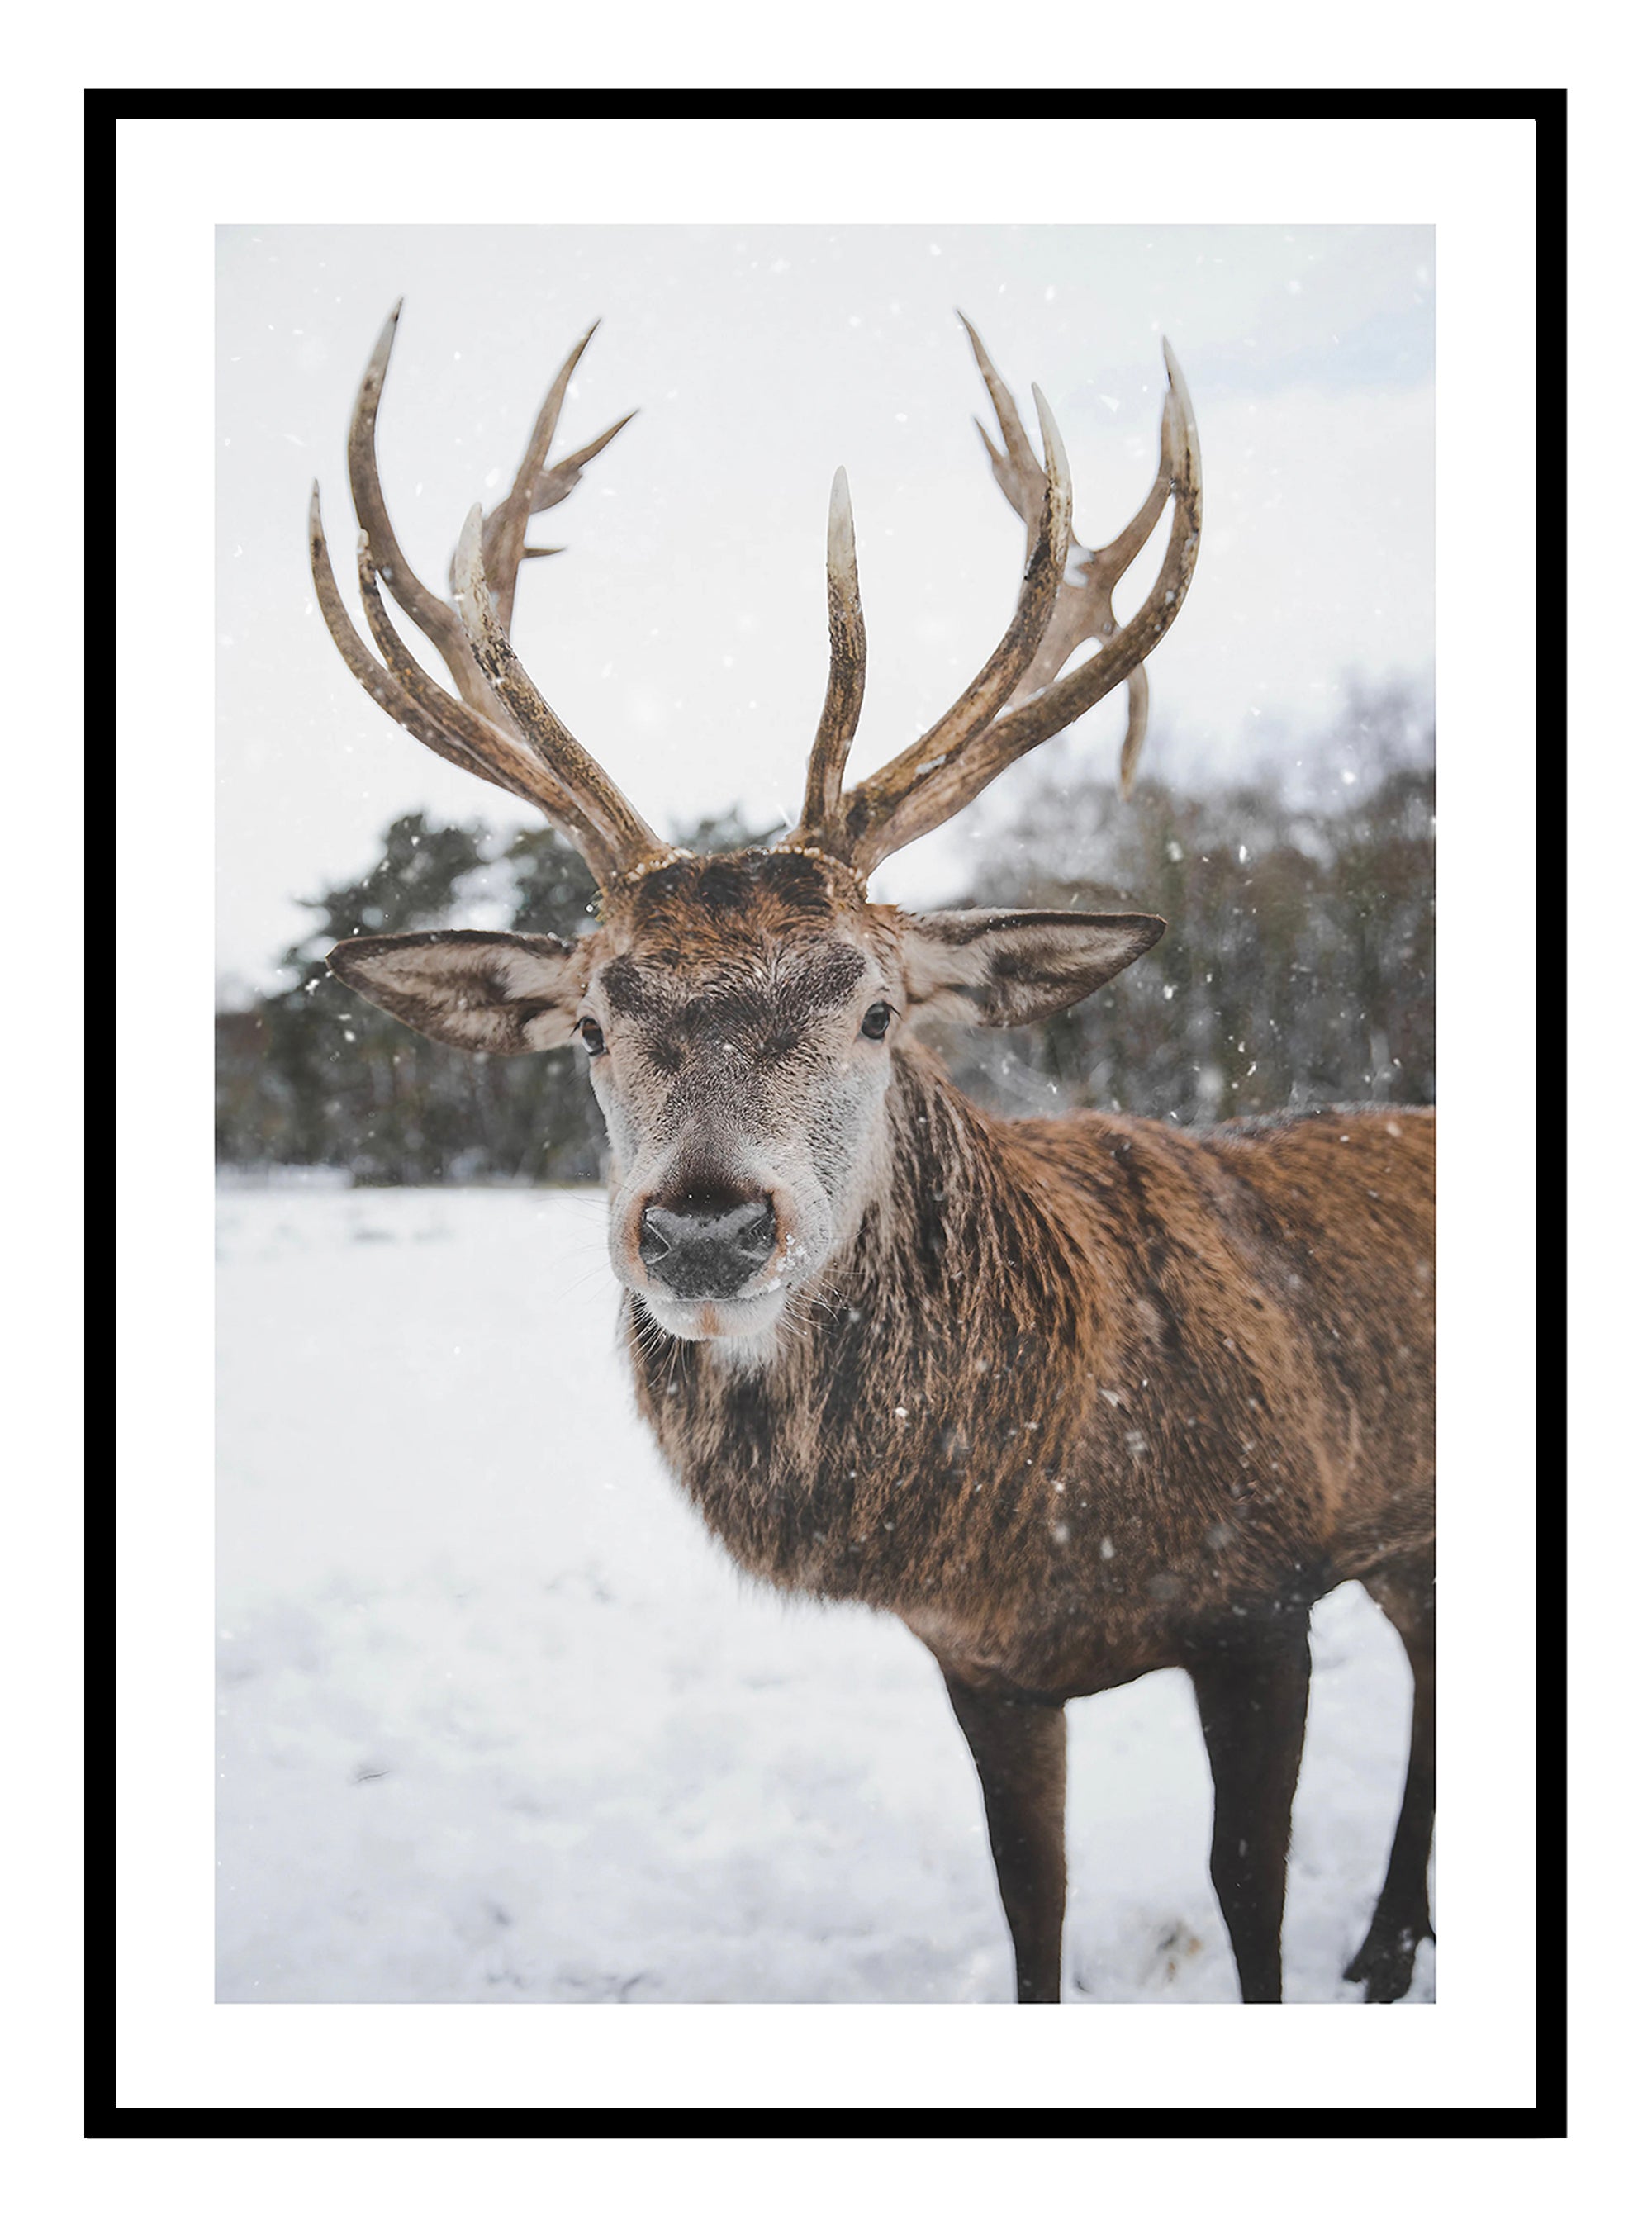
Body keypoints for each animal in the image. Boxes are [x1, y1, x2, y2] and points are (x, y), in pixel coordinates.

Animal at [309, 304, 1435, 2005]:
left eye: (877, 1007)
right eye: (590, 1025)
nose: (705, 1228)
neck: (1044, 1517)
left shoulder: (1264, 1590)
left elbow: (1248, 1894)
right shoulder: (982, 1665)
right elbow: (1030, 1900)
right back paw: (1388, 1933)